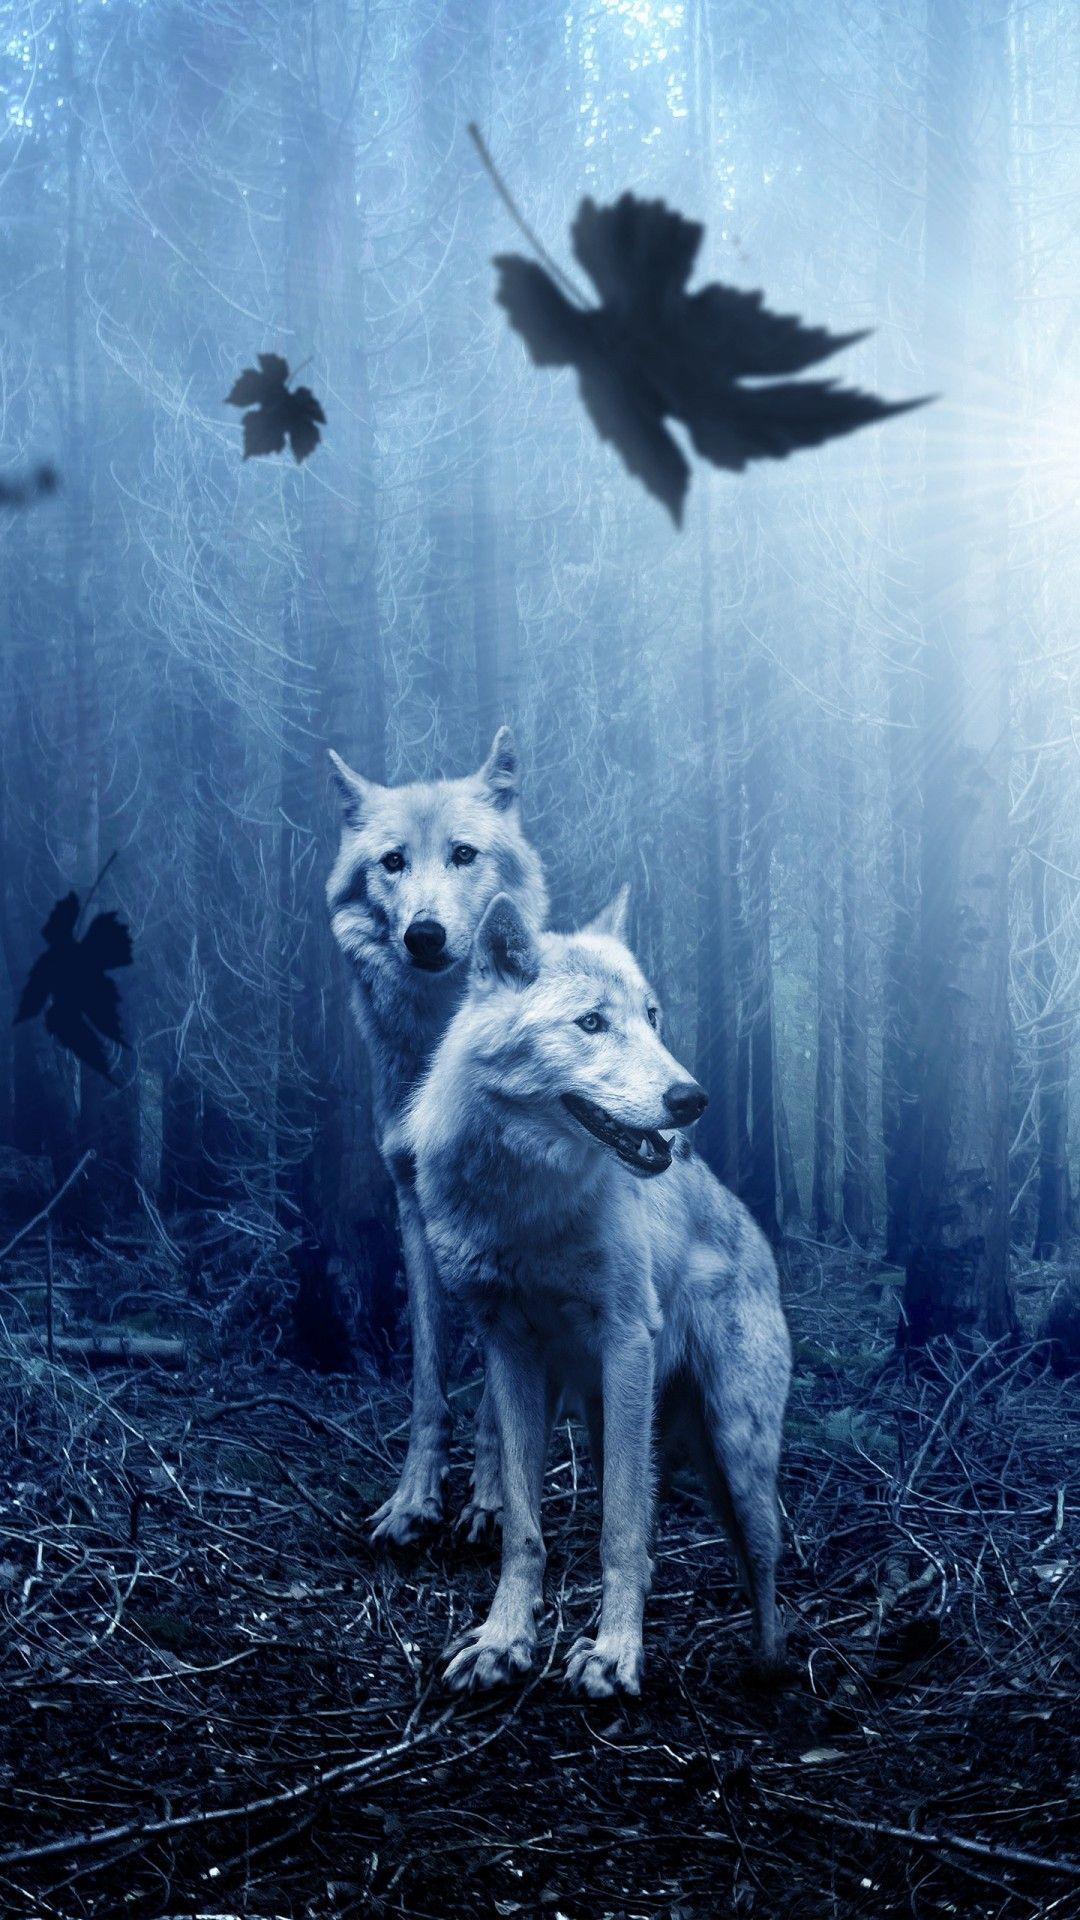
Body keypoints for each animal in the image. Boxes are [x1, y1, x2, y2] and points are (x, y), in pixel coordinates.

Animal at [327, 730, 548, 1544]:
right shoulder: (413, 1207)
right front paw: (414, 1500)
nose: (424, 934)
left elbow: (497, 1396)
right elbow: (428, 1380)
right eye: (393, 861)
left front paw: (491, 1502)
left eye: (462, 854)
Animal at [406, 888, 791, 1697]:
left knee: (764, 1560)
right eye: (591, 1023)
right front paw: (503, 1641)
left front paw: (615, 1656)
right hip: (609, 1418)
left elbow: (618, 1529)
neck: (526, 1207)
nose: (692, 1099)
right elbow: (523, 1527)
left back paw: (768, 1668)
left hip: (735, 1448)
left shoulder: (625, 1341)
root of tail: (754, 1232)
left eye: (652, 1017)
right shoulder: (509, 1349)